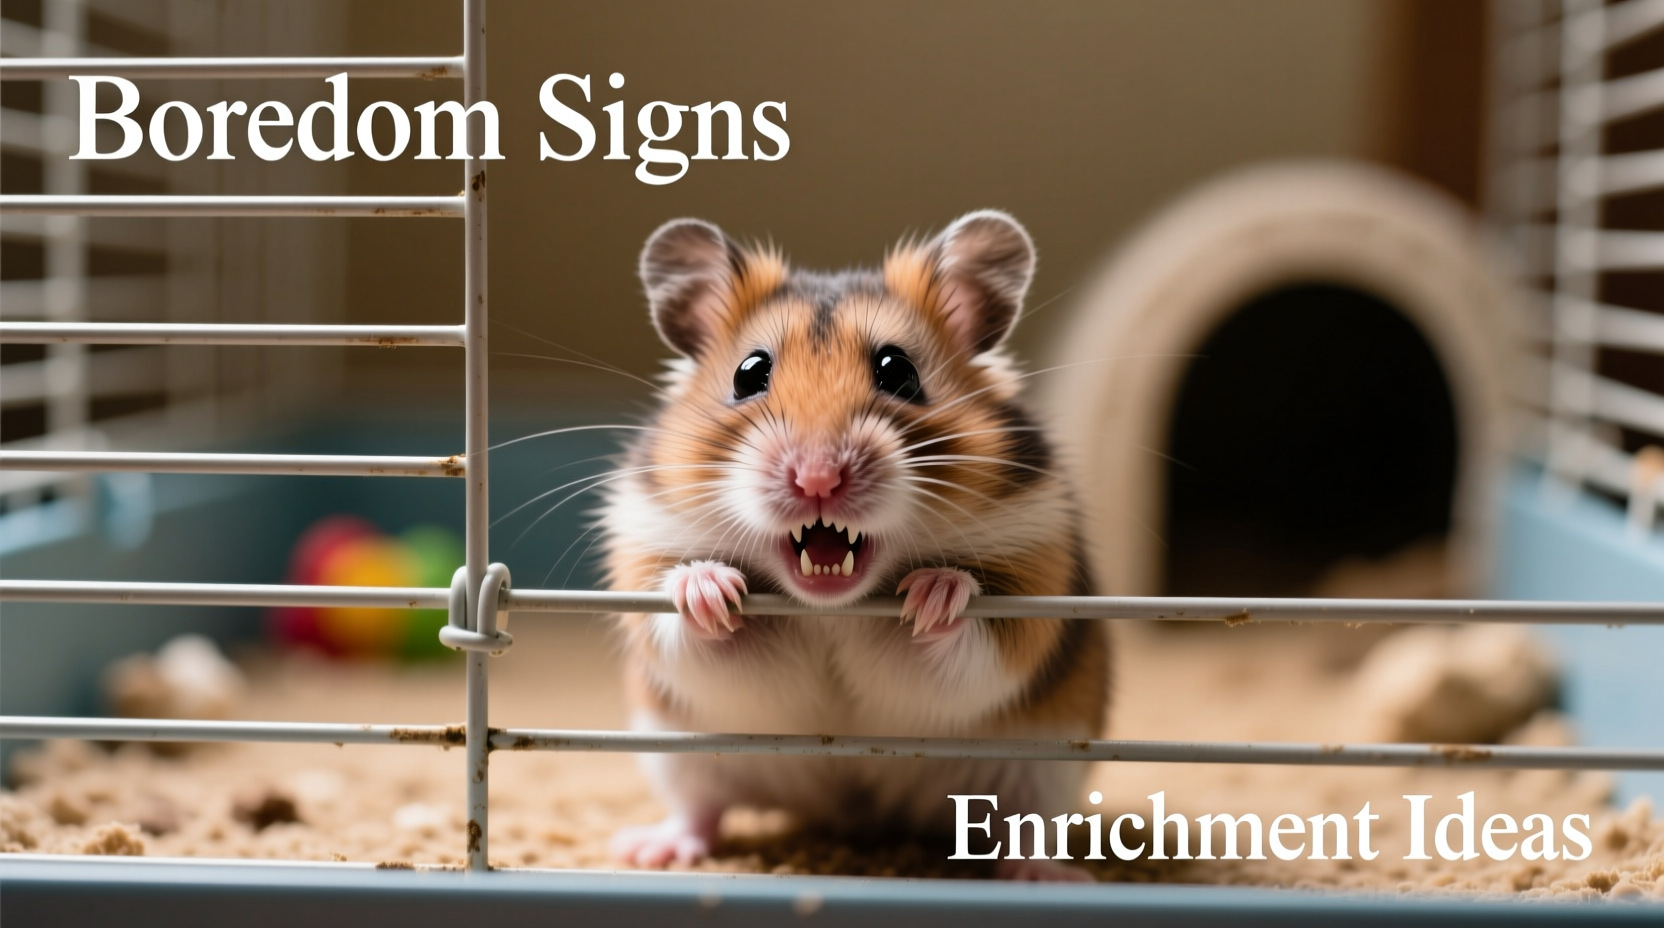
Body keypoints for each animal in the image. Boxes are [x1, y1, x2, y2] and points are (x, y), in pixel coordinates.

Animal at [600, 211, 1109, 881]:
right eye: (748, 373)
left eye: (899, 372)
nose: (817, 478)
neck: (832, 606)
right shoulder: (650, 561)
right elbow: (689, 634)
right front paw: (709, 587)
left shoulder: (1030, 587)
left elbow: (972, 647)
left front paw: (933, 593)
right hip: (678, 753)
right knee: (700, 810)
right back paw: (650, 850)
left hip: (1044, 767)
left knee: (1027, 830)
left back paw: (1046, 875)